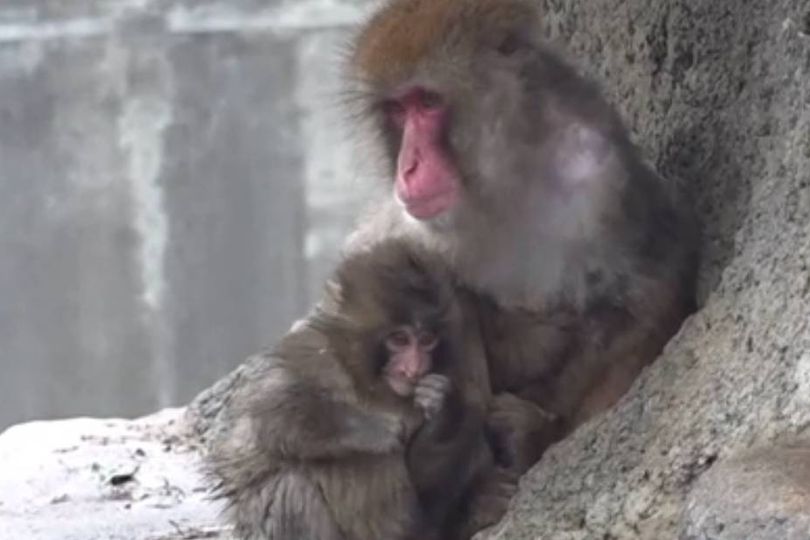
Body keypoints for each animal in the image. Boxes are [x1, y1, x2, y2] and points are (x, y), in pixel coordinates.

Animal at [206, 239, 511, 540]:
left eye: (427, 340)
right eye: (399, 339)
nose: (414, 368)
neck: (369, 379)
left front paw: (445, 408)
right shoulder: (311, 348)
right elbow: (269, 411)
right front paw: (374, 430)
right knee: (291, 489)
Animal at [343, 0, 699, 475]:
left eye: (428, 103)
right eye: (398, 110)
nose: (409, 167)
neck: (505, 185)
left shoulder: (599, 179)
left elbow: (646, 294)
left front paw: (534, 434)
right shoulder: (407, 224)